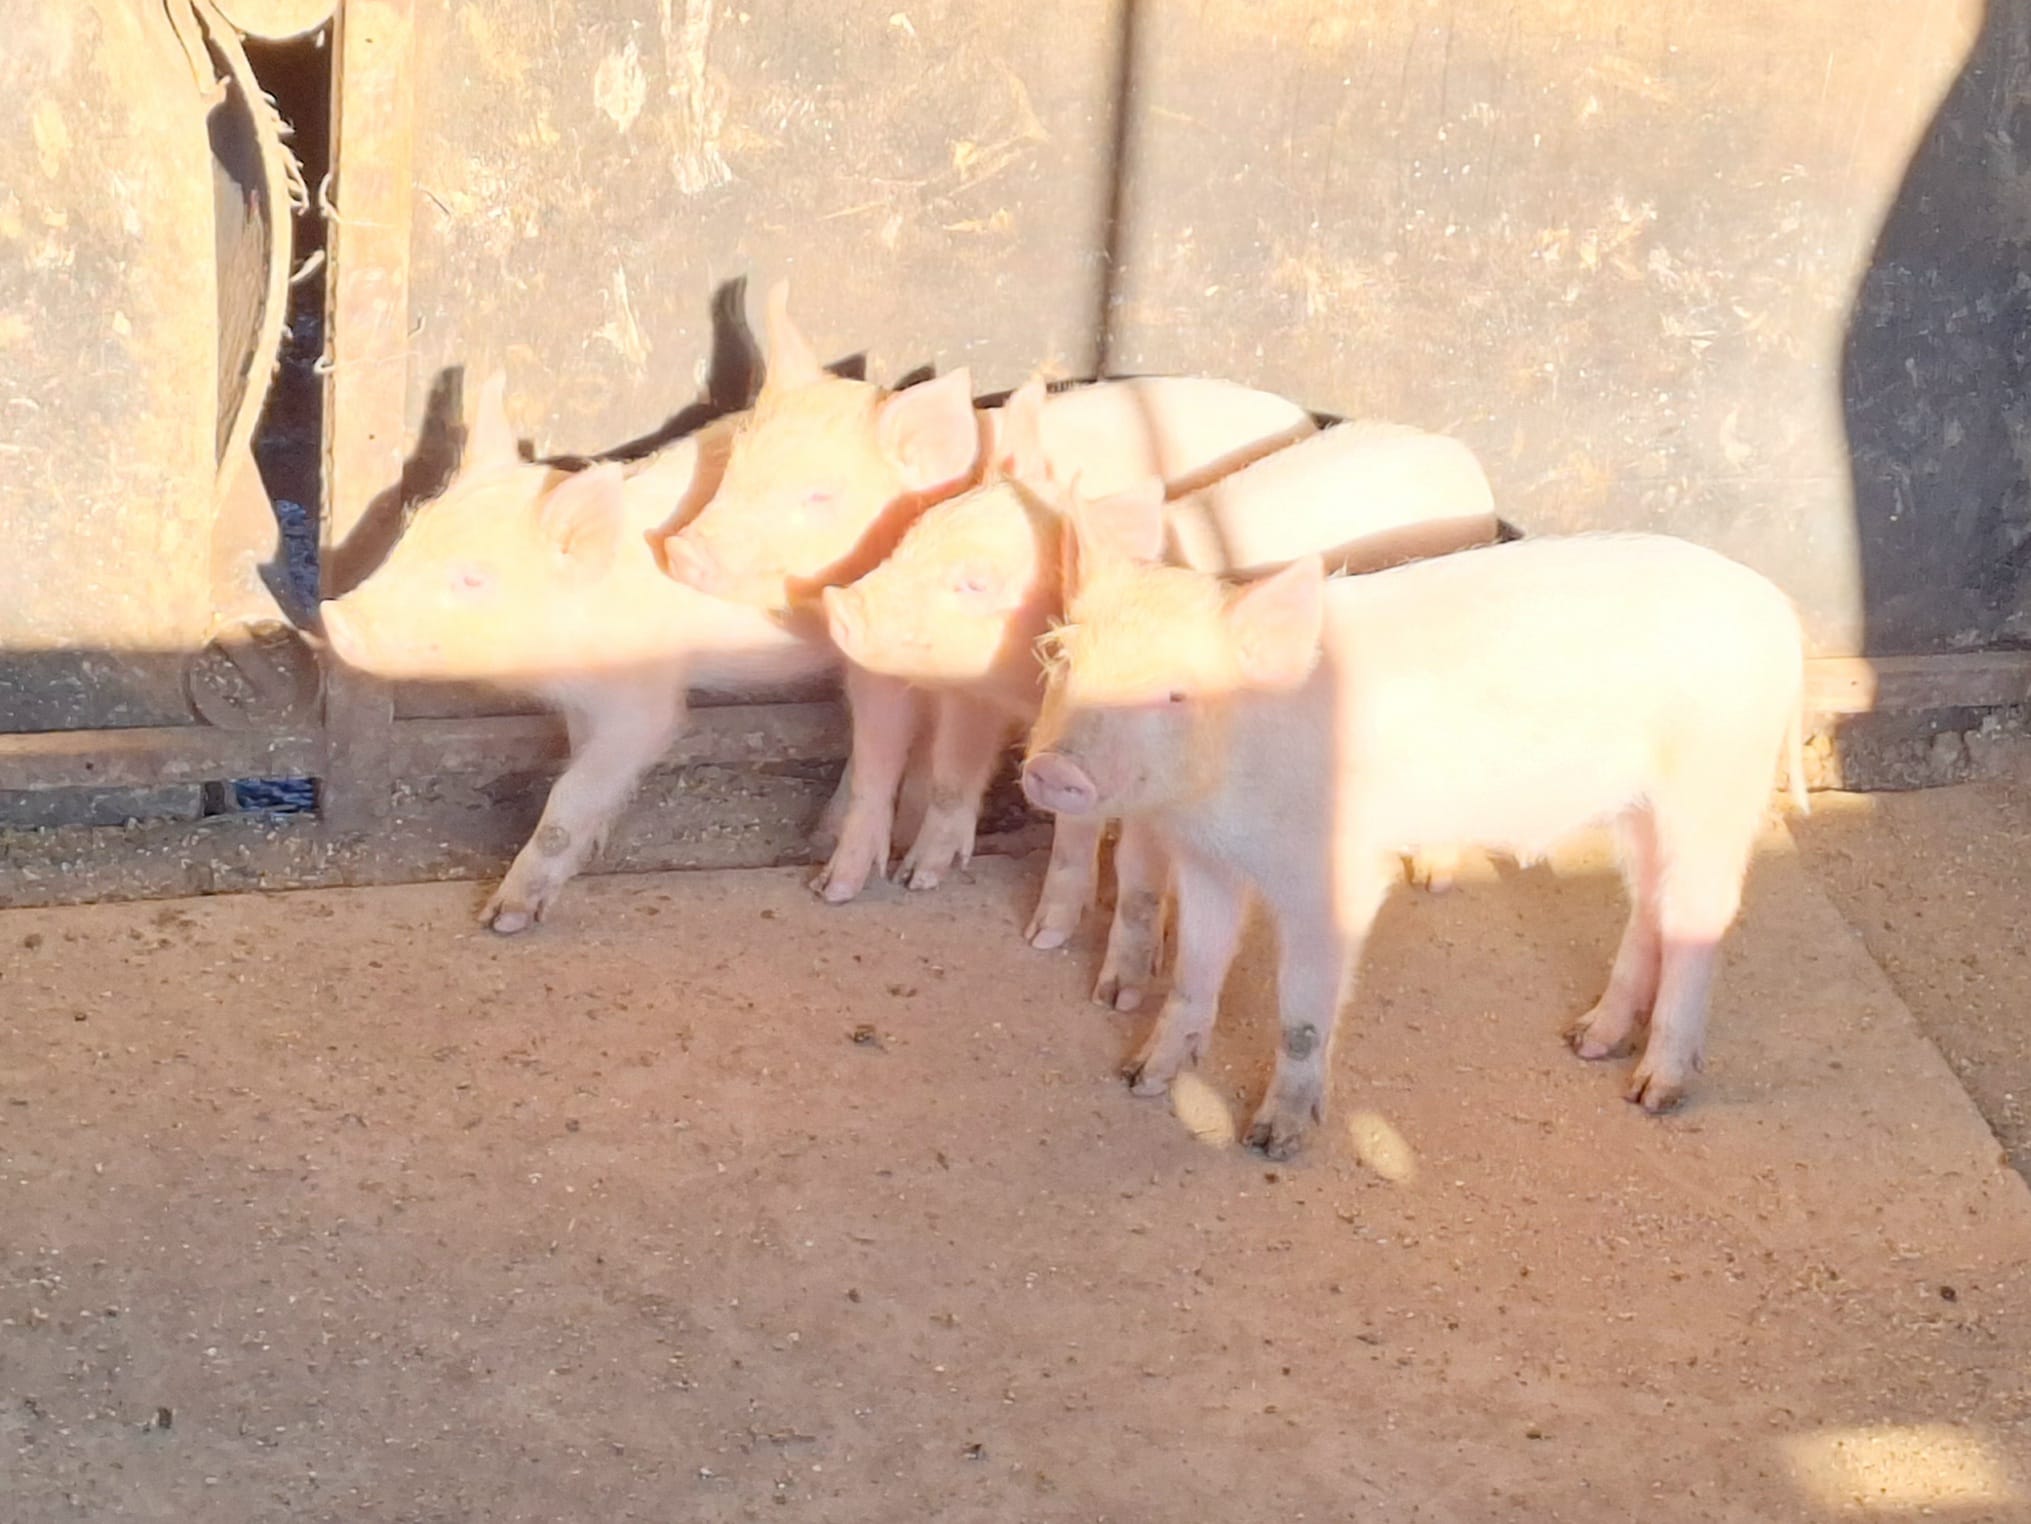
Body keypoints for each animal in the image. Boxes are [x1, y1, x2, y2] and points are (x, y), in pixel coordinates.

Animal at [318, 373, 848, 933]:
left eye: (473, 579)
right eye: (410, 535)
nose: (336, 616)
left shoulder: (645, 699)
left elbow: (574, 789)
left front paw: (505, 918)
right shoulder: (581, 701)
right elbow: (583, 761)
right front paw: (595, 844)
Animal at [658, 281, 1320, 903]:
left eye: (819, 495)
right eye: (735, 465)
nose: (678, 550)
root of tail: (1303, 415)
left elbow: (954, 767)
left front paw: (918, 877)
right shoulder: (875, 670)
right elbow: (875, 760)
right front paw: (831, 881)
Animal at [822, 379, 1500, 1006]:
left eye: (975, 582)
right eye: (913, 535)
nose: (838, 602)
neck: (1022, 686)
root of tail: (1459, 454)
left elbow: (1137, 873)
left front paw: (1118, 994)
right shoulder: (1013, 717)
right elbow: (1001, 801)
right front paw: (995, 916)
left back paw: (1437, 879)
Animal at [1020, 497, 1808, 1158]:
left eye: (1176, 694)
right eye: (1062, 657)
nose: (1054, 769)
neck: (1215, 805)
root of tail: (1779, 611)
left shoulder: (1333, 882)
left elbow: (1302, 1015)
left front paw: (1272, 1142)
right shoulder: (1208, 864)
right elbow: (1193, 972)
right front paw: (1140, 1078)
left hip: (1713, 785)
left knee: (1702, 918)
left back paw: (1651, 1092)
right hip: (1635, 810)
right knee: (1651, 906)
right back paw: (1586, 1040)